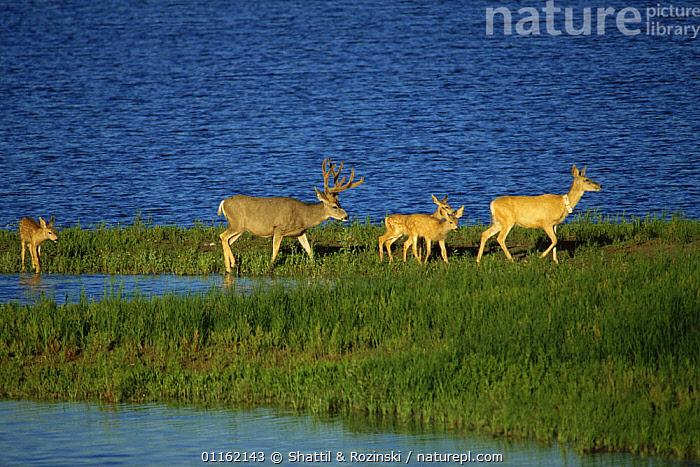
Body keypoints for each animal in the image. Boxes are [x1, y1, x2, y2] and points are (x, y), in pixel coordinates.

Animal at [217, 158, 364, 273]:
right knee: (223, 236)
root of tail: (223, 202)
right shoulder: (279, 228)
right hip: (236, 223)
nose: (346, 216)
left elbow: (309, 250)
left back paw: (229, 266)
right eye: (334, 206)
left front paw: (314, 265)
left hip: (241, 228)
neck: (303, 216)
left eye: (340, 203)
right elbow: (275, 251)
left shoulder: (300, 232)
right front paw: (269, 268)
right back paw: (232, 264)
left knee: (228, 240)